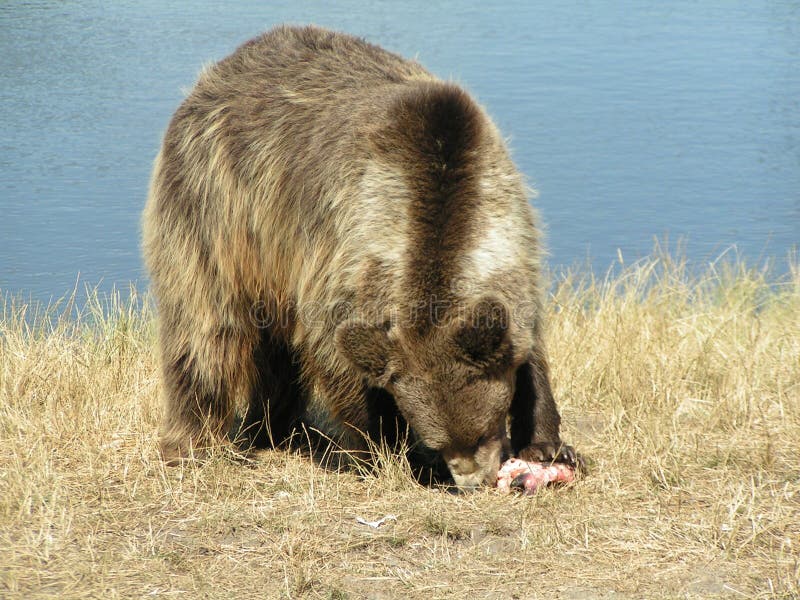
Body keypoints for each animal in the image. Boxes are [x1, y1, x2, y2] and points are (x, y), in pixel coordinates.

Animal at [142, 25, 577, 489]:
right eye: (443, 440)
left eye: (484, 430)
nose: (472, 480)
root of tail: (215, 73)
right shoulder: (340, 255)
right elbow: (341, 357)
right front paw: (380, 449)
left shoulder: (515, 237)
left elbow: (530, 351)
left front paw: (548, 444)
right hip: (213, 206)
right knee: (205, 332)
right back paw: (194, 443)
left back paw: (274, 428)